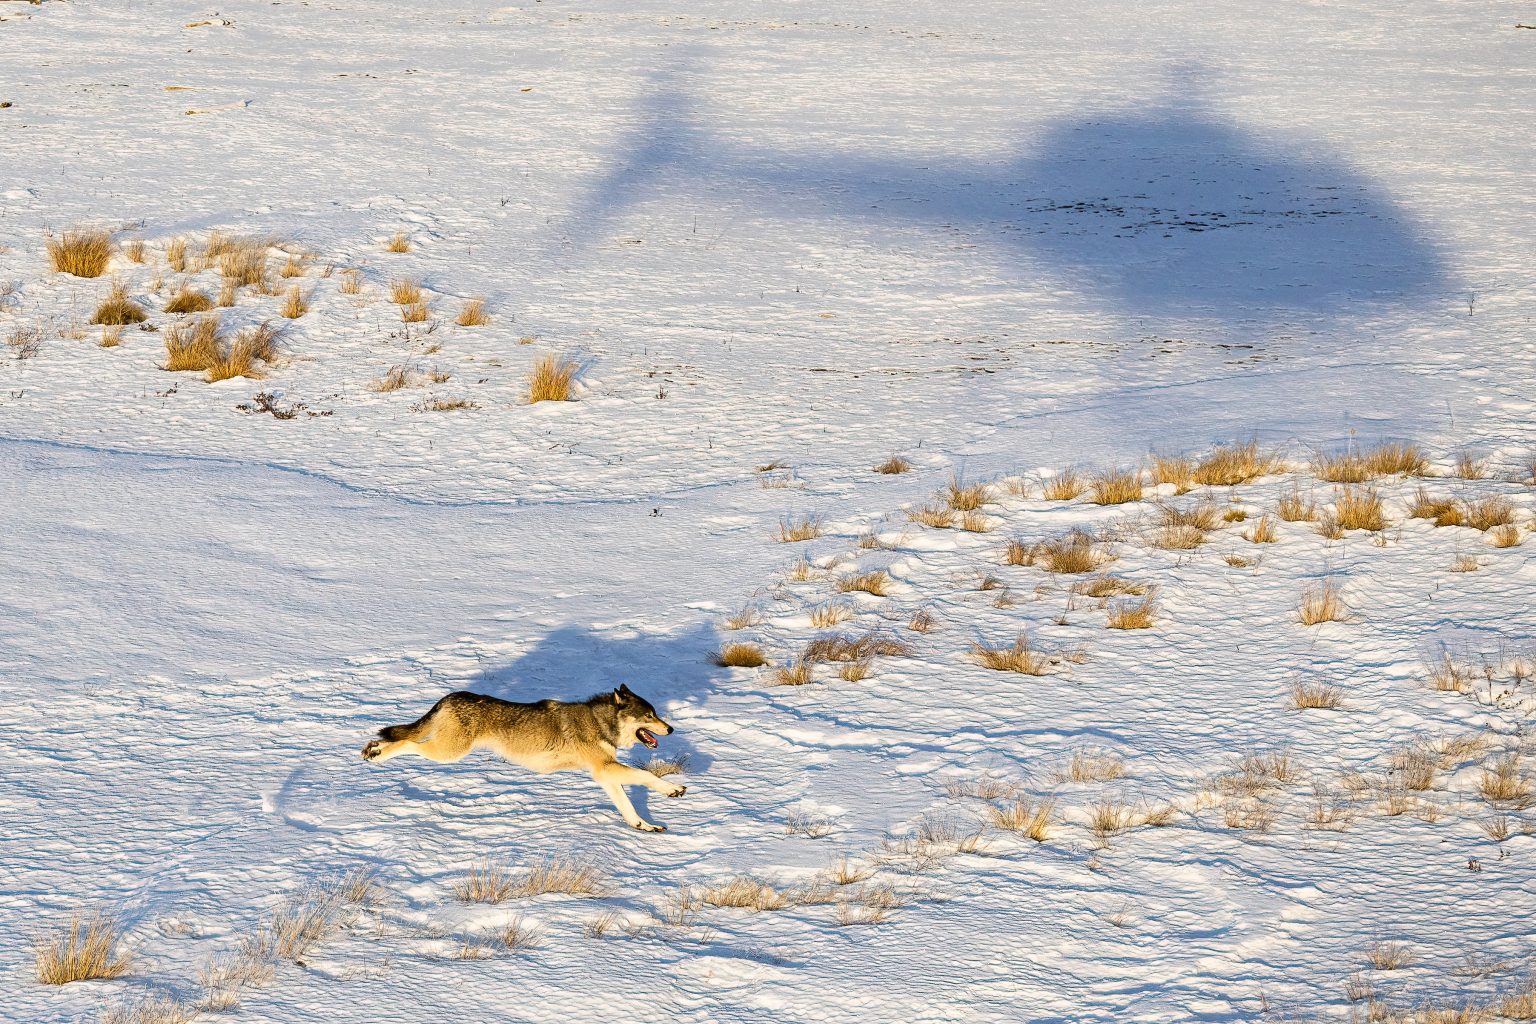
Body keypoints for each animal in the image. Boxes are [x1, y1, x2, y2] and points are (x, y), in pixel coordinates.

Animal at [361, 684, 687, 832]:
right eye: (649, 716)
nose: (670, 729)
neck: (599, 722)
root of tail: (451, 696)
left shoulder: (604, 774)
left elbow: (627, 807)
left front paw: (644, 826)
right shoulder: (604, 768)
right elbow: (646, 775)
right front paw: (673, 789)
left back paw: (372, 748)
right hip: (448, 753)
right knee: (405, 742)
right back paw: (376, 753)